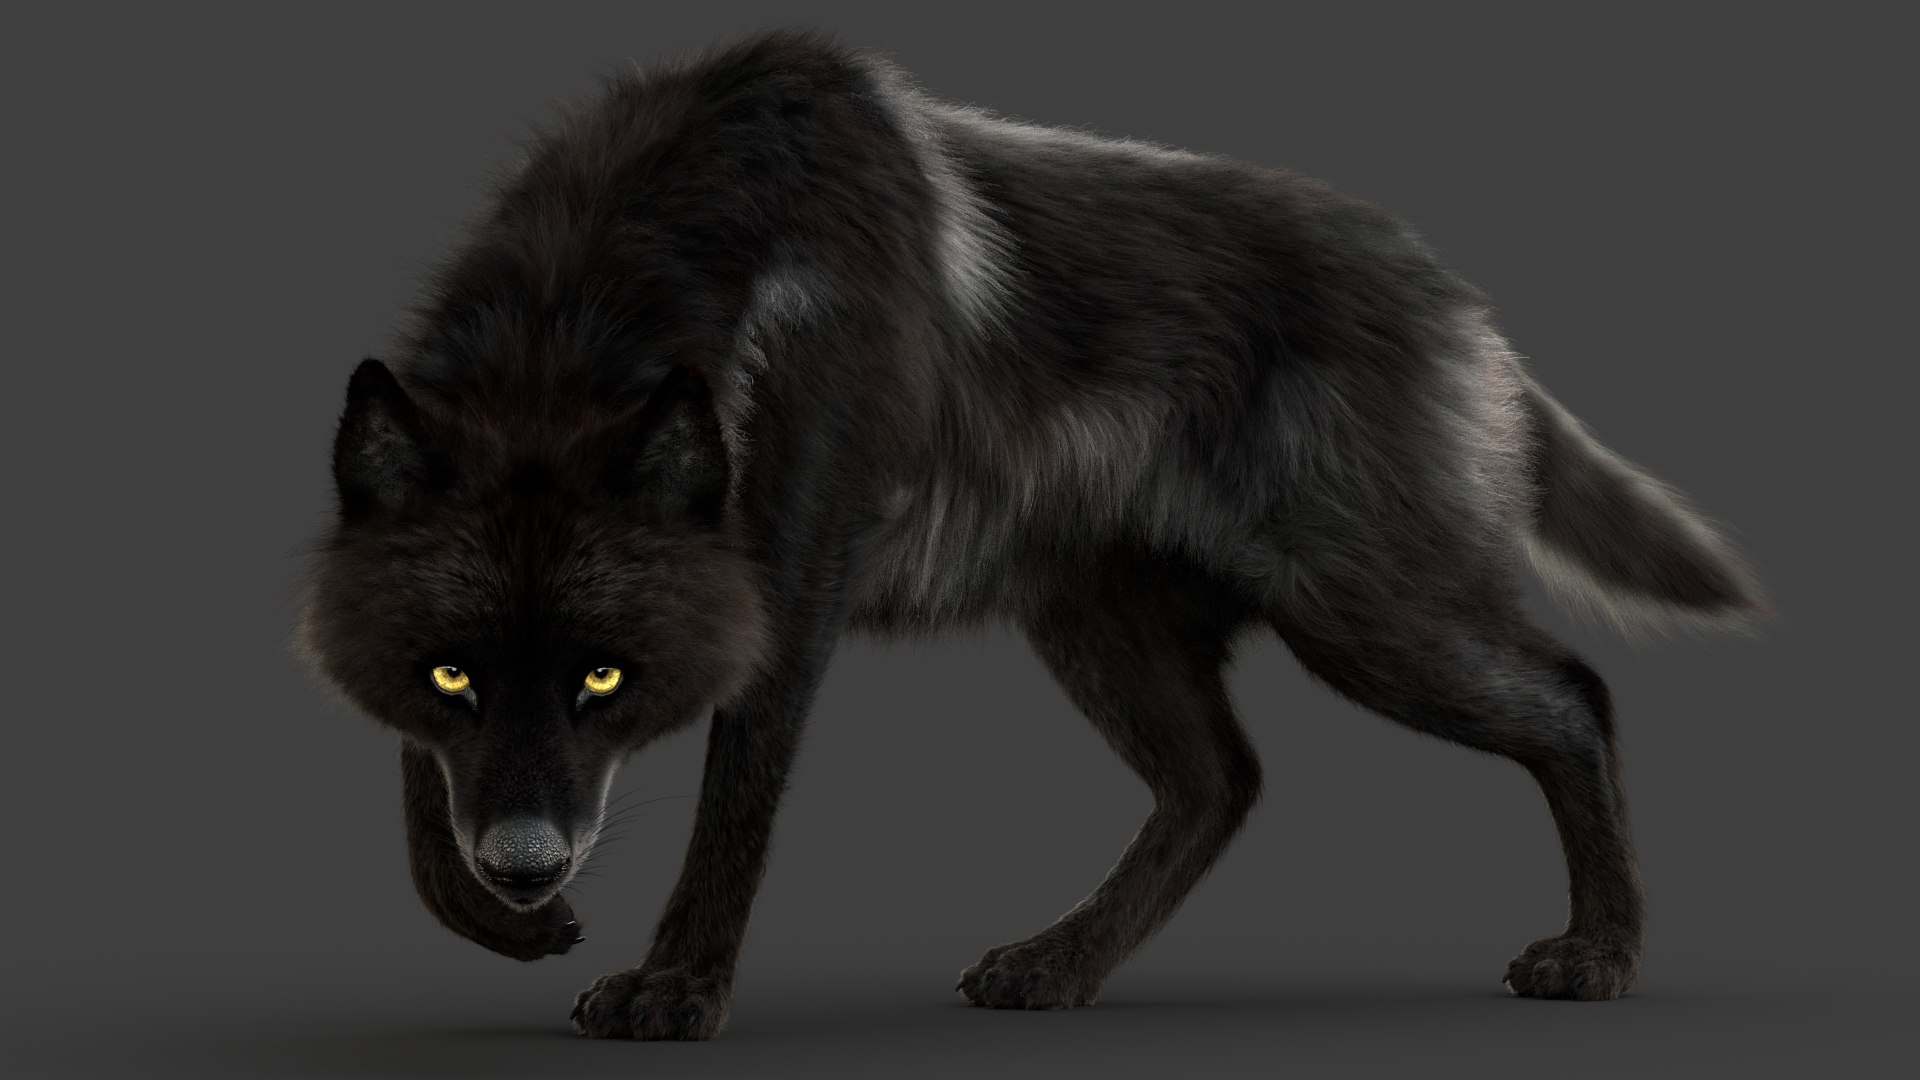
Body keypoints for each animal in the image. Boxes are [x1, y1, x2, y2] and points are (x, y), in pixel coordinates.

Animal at [295, 29, 1766, 1040]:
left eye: (606, 678)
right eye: (453, 672)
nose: (529, 865)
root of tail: (1464, 300)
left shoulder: (793, 591)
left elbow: (734, 810)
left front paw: (677, 988)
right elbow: (417, 777)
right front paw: (492, 917)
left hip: (1368, 623)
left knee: (1573, 698)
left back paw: (1598, 957)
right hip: (1095, 626)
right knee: (1222, 782)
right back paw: (1056, 967)